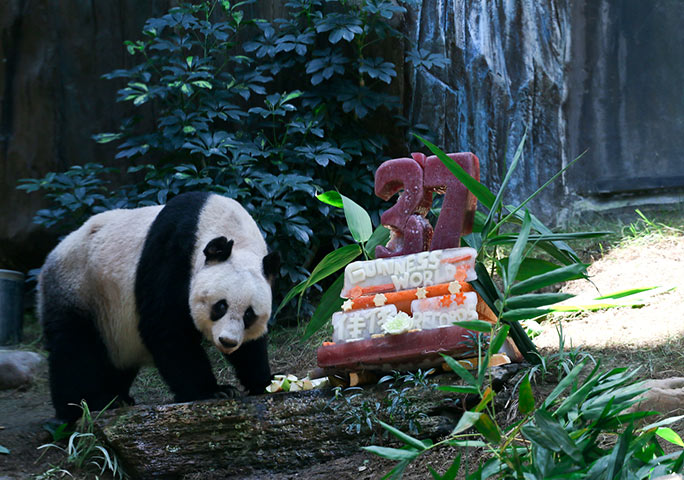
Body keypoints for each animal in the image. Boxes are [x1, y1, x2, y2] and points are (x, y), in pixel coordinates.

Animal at [37, 191, 280, 422]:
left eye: (249, 315)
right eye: (220, 306)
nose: (228, 341)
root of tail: (52, 254)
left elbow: (250, 348)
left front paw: (265, 382)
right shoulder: (172, 253)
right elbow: (166, 327)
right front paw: (212, 391)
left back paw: (119, 397)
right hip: (80, 286)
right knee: (73, 348)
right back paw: (83, 405)